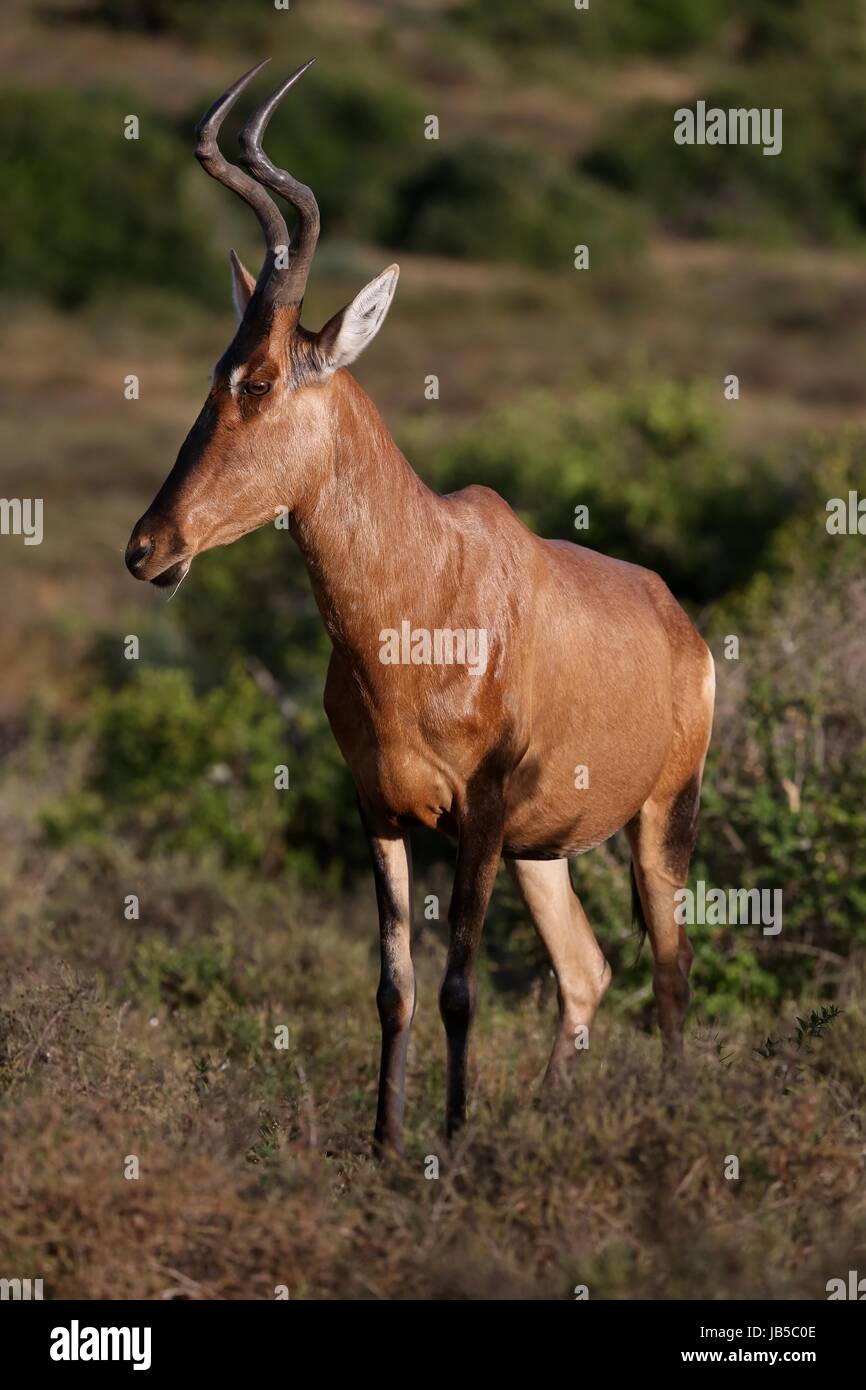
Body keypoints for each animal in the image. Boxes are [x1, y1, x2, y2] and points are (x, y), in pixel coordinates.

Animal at [125, 61, 715, 1153]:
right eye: (211, 375)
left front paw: (447, 1143)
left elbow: (458, 989)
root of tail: (683, 627)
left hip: (662, 814)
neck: (426, 587)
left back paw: (665, 1127)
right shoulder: (379, 807)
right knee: (585, 971)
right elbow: (394, 987)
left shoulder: (478, 816)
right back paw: (542, 1119)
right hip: (543, 850)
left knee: (668, 971)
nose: (149, 548)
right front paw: (388, 1145)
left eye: (258, 381)